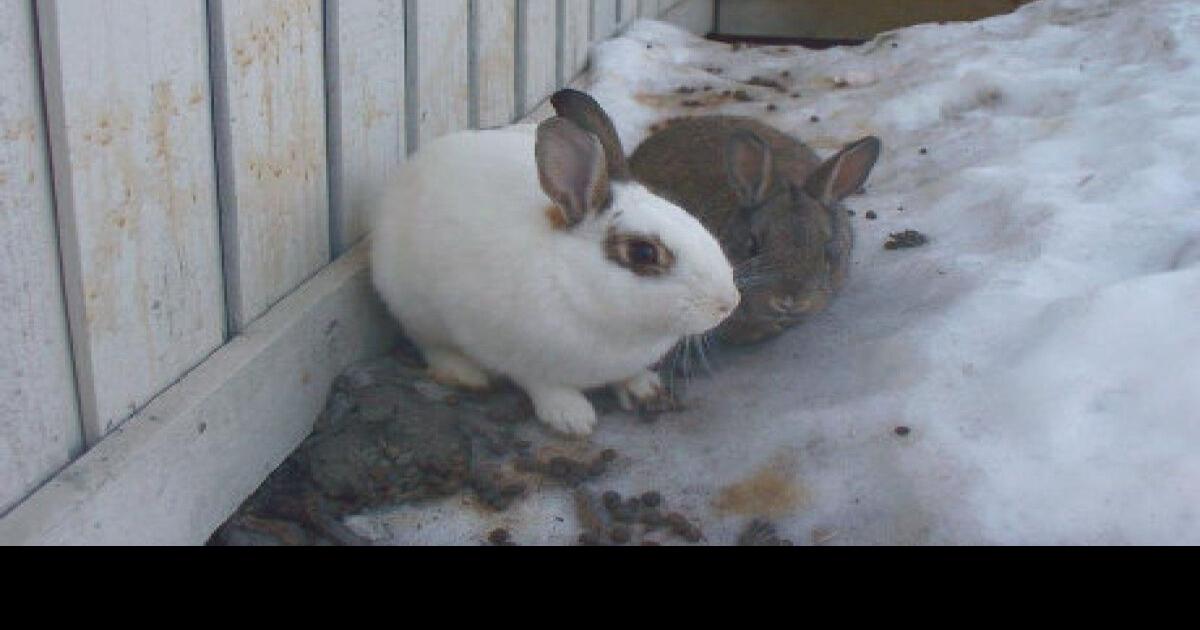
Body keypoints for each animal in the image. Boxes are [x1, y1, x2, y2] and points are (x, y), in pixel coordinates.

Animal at [369, 89, 740, 437]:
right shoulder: (515, 353)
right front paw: (572, 417)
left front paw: (644, 387)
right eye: (643, 253)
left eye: (688, 216)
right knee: (430, 344)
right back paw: (466, 374)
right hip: (414, 308)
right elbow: (542, 384)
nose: (728, 303)